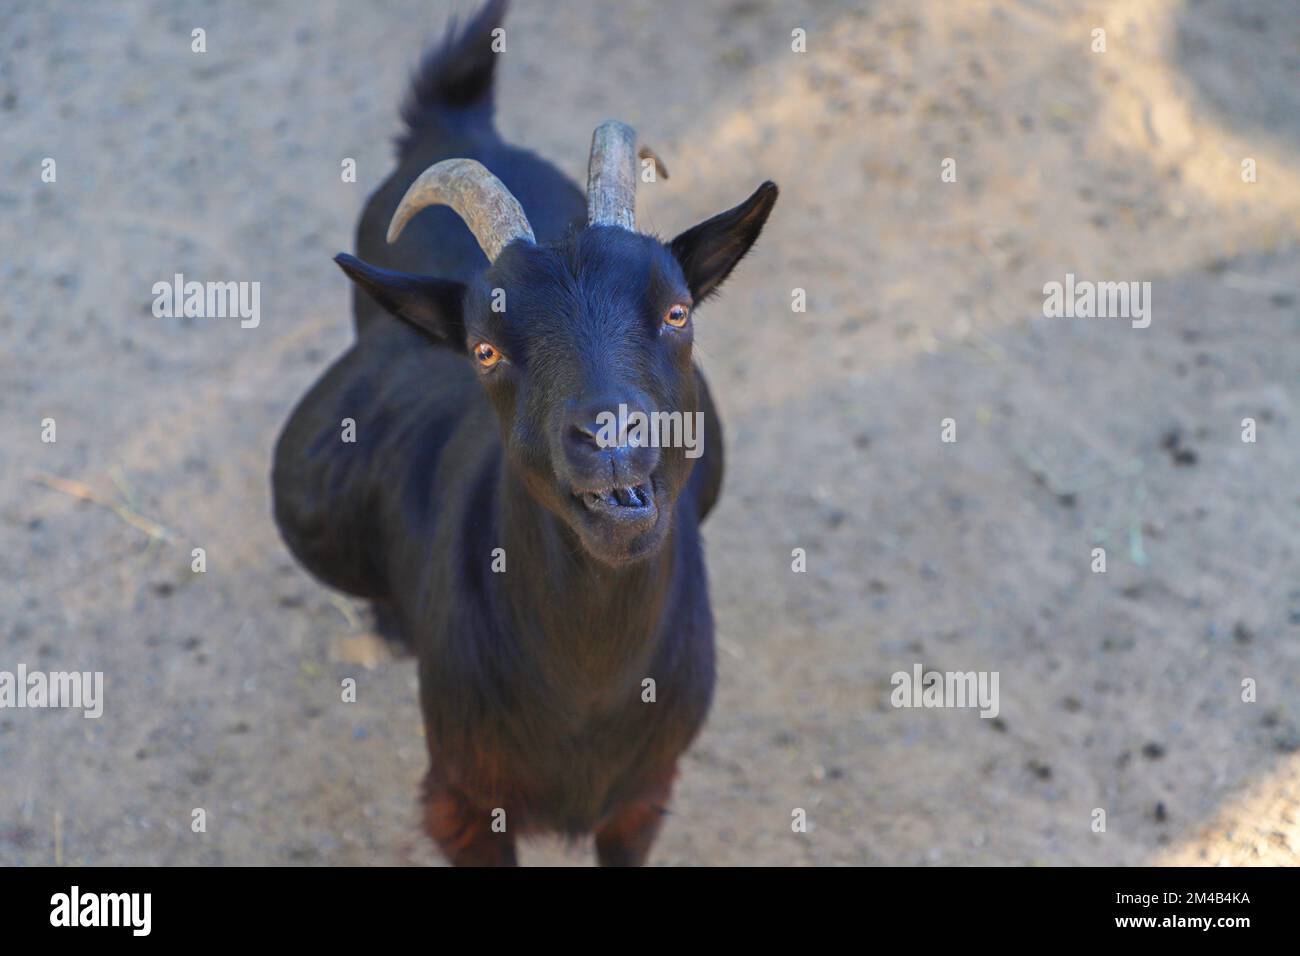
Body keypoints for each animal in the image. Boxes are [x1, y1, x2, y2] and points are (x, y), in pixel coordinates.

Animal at [271, 0, 777, 866]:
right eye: (485, 349)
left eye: (678, 312)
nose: (609, 436)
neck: (589, 688)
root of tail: (453, 124)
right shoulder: (464, 802)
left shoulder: (642, 798)